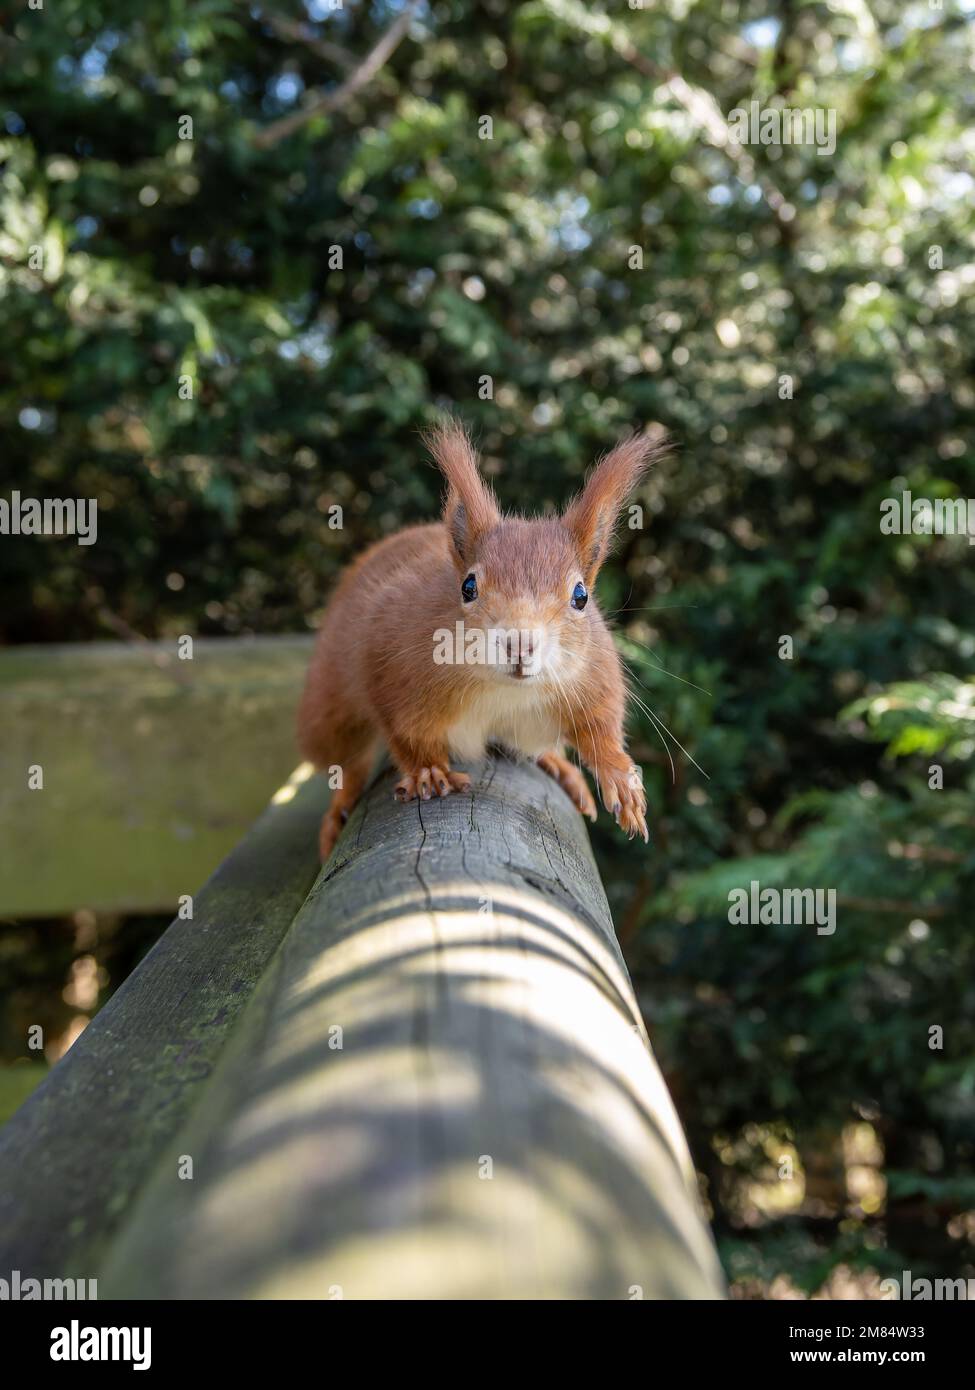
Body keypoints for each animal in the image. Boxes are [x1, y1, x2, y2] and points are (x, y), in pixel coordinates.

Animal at [297, 421, 668, 860]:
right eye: (468, 587)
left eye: (581, 596)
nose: (520, 644)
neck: (503, 689)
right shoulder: (388, 665)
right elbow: (406, 733)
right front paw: (429, 771)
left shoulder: (592, 677)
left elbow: (600, 726)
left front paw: (619, 779)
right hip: (331, 709)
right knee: (349, 760)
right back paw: (339, 807)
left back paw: (559, 765)